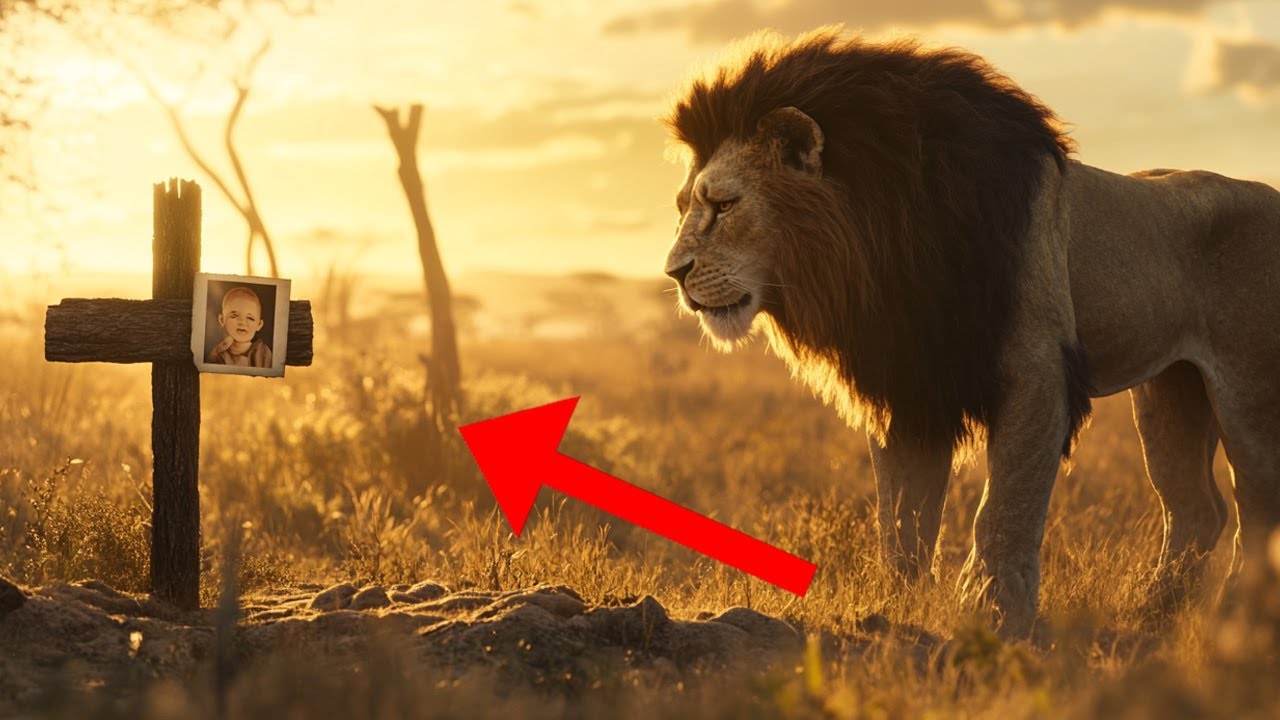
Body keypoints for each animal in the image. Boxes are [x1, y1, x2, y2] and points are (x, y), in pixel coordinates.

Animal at [661, 27, 1280, 637]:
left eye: (724, 205)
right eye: (683, 205)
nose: (674, 273)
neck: (881, 235)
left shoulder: (1037, 372)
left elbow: (1004, 508)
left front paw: (993, 613)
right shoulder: (911, 384)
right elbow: (901, 519)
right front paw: (897, 610)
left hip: (1247, 395)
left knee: (1257, 509)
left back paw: (1235, 618)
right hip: (1170, 392)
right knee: (1197, 508)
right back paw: (1152, 616)